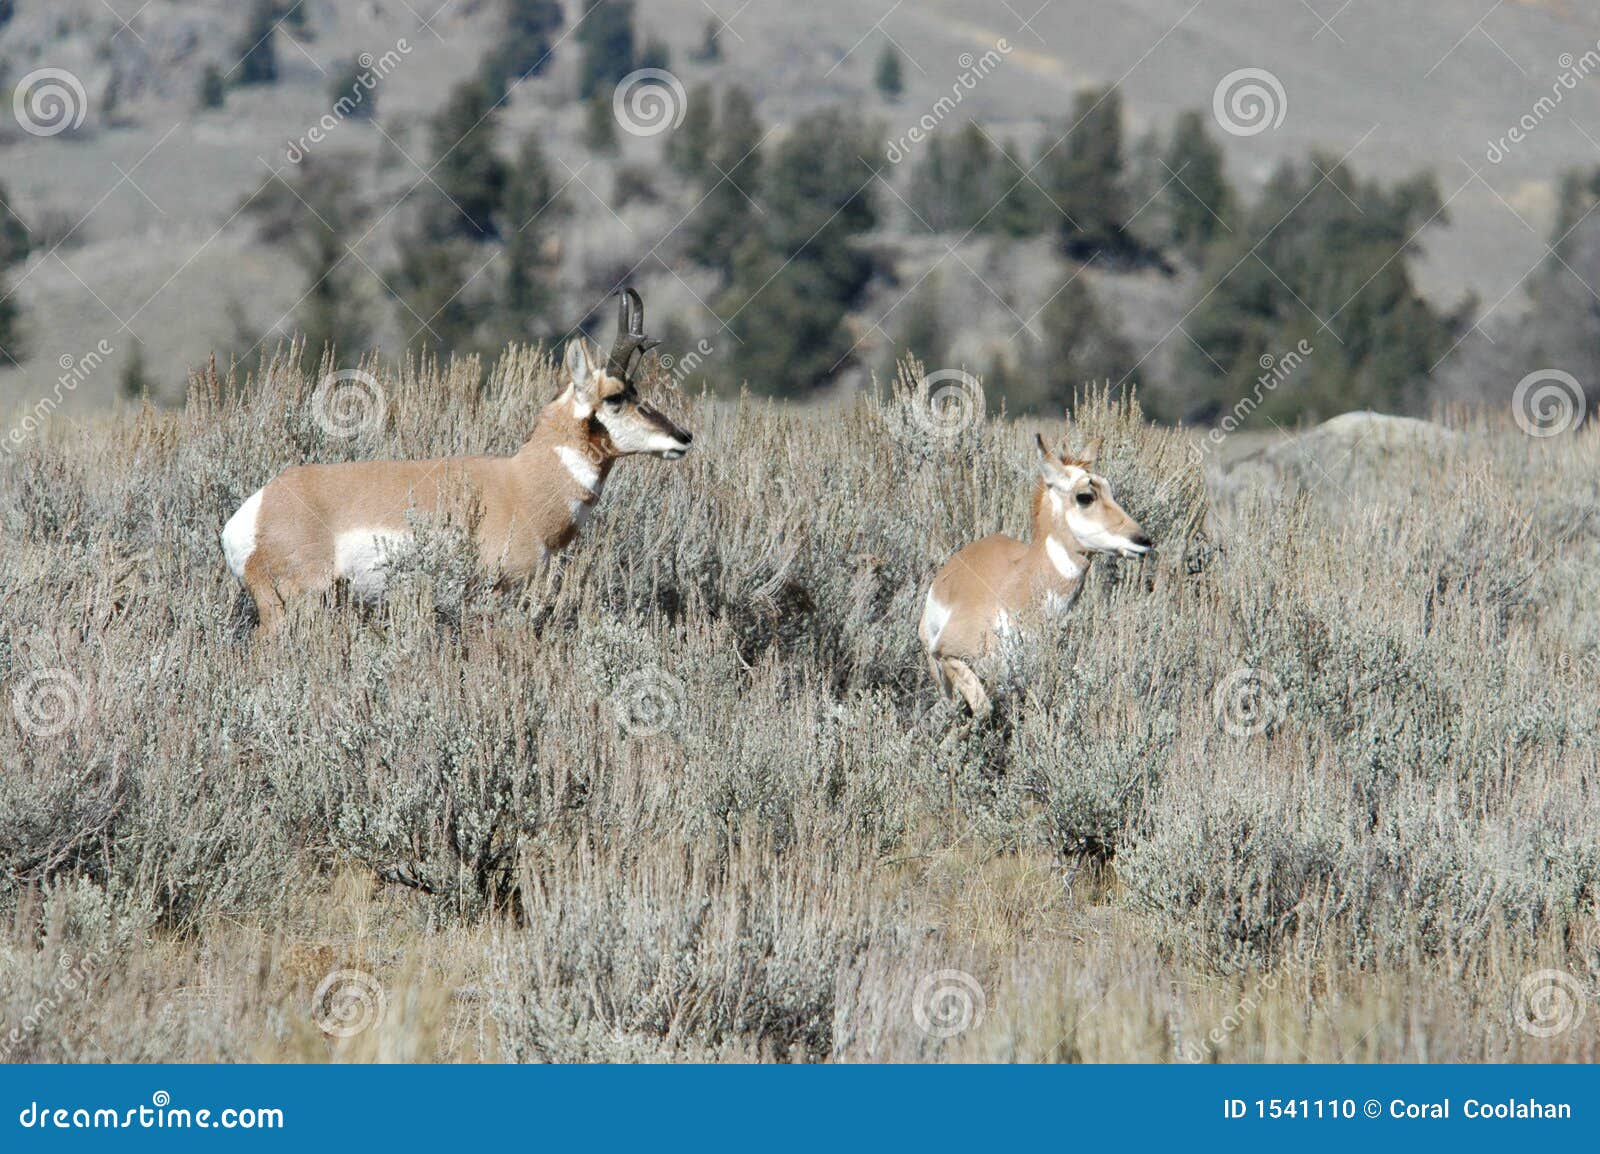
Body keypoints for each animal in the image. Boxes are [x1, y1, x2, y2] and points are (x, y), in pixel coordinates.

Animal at [221, 289, 692, 633]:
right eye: (615, 397)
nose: (683, 437)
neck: (520, 485)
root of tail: (255, 509)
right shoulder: (495, 595)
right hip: (293, 604)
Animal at [919, 433, 1152, 719]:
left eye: (1110, 489)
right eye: (1085, 496)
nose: (1143, 540)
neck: (1017, 593)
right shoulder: (946, 654)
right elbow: (983, 707)